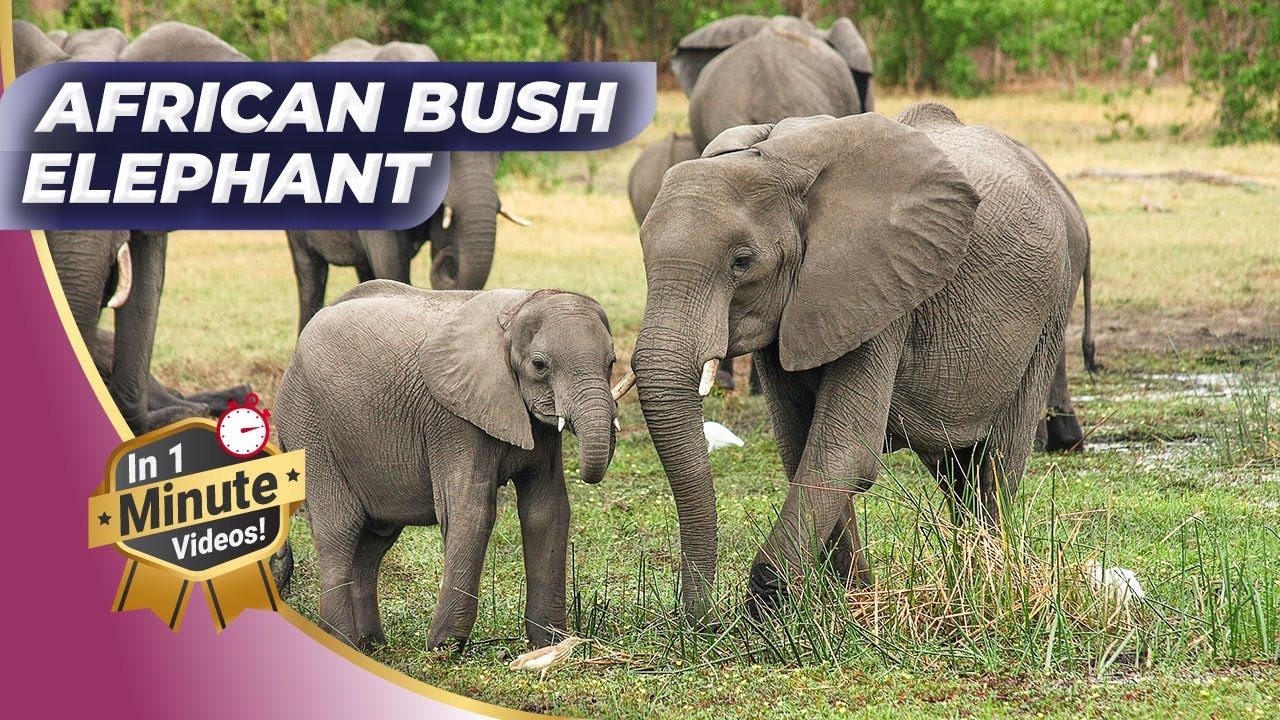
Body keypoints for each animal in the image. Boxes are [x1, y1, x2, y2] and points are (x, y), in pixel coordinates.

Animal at [274, 281, 625, 650]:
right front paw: (444, 648)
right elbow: (471, 511)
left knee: (373, 541)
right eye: (540, 365)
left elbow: (547, 510)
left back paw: (371, 646)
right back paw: (343, 642)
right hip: (308, 424)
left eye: (611, 362)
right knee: (340, 529)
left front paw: (552, 643)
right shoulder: (453, 418)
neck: (516, 311)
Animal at [628, 104, 1075, 619]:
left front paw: (767, 607)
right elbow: (801, 446)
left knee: (996, 462)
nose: (699, 619)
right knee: (954, 471)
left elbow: (843, 451)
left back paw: (988, 582)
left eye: (742, 261)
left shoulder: (881, 288)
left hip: (1049, 312)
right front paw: (850, 600)